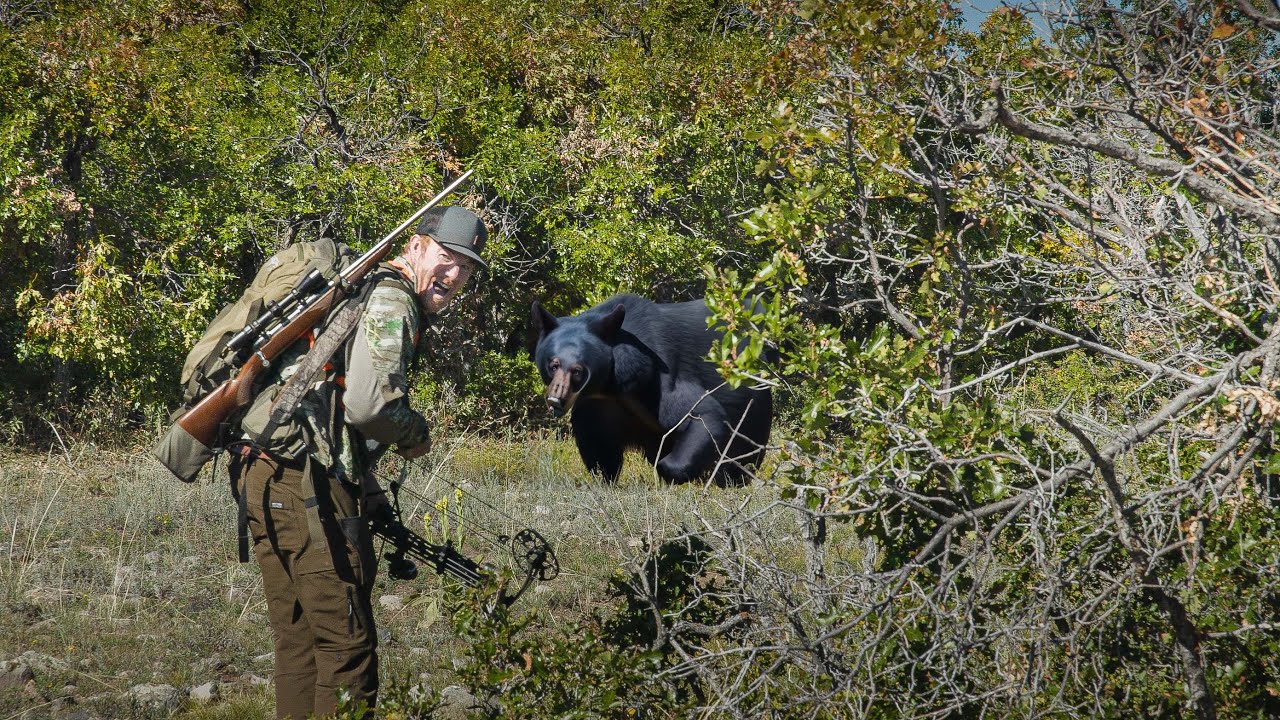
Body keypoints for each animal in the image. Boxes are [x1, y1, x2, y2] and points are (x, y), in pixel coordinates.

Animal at [531, 294, 772, 485]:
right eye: (553, 365)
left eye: (578, 371)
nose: (556, 399)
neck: (614, 386)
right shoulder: (596, 404)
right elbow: (596, 440)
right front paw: (604, 478)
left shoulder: (659, 378)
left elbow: (703, 414)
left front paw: (671, 471)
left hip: (754, 406)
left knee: (742, 449)